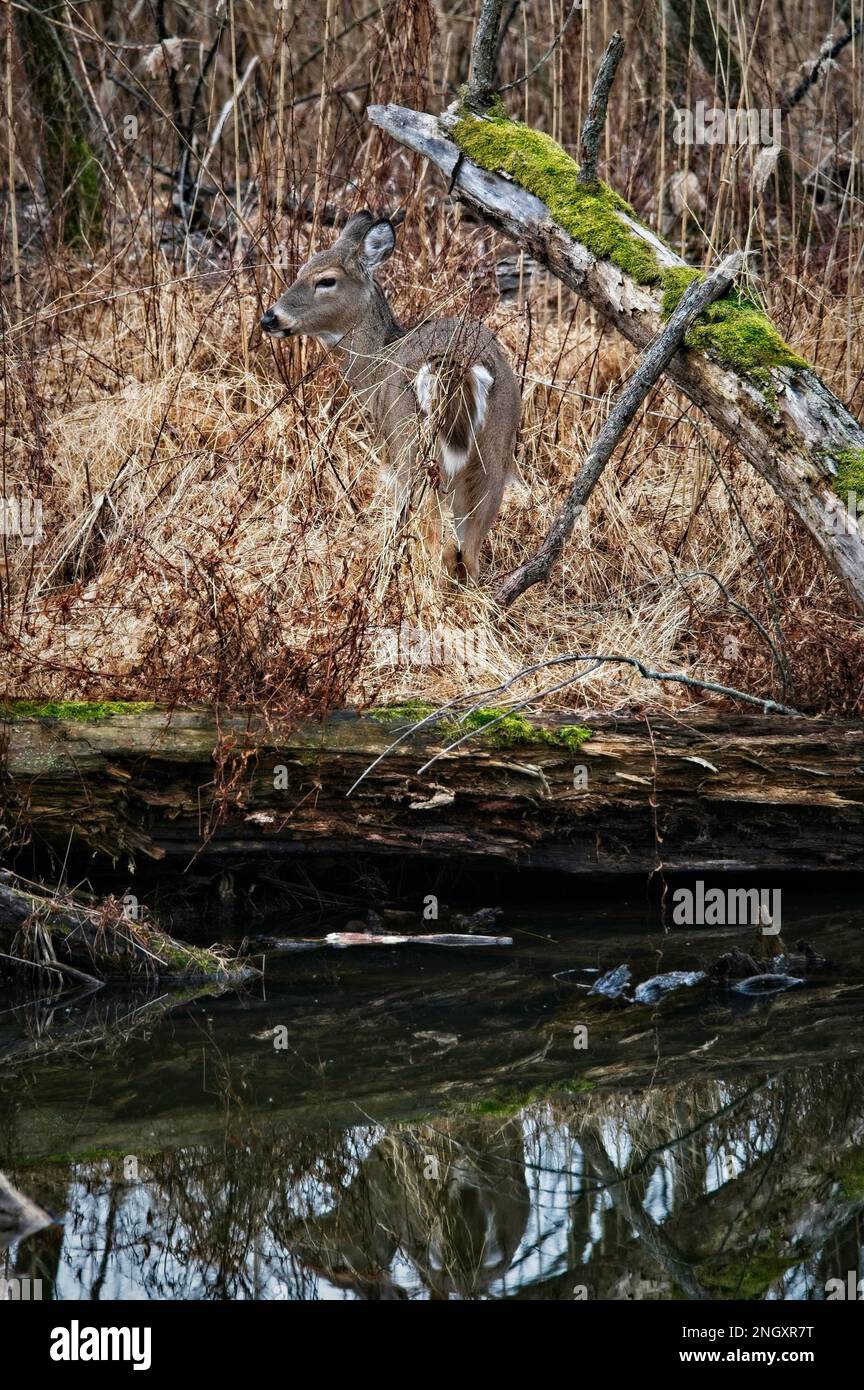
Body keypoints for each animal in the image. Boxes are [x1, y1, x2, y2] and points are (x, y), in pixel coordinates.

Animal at [260, 211, 520, 582]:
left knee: (437, 543)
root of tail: (457, 363)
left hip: (412, 446)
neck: (376, 365)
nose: (270, 317)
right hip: (496, 449)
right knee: (469, 553)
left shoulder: (391, 458)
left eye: (326, 280)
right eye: (300, 270)